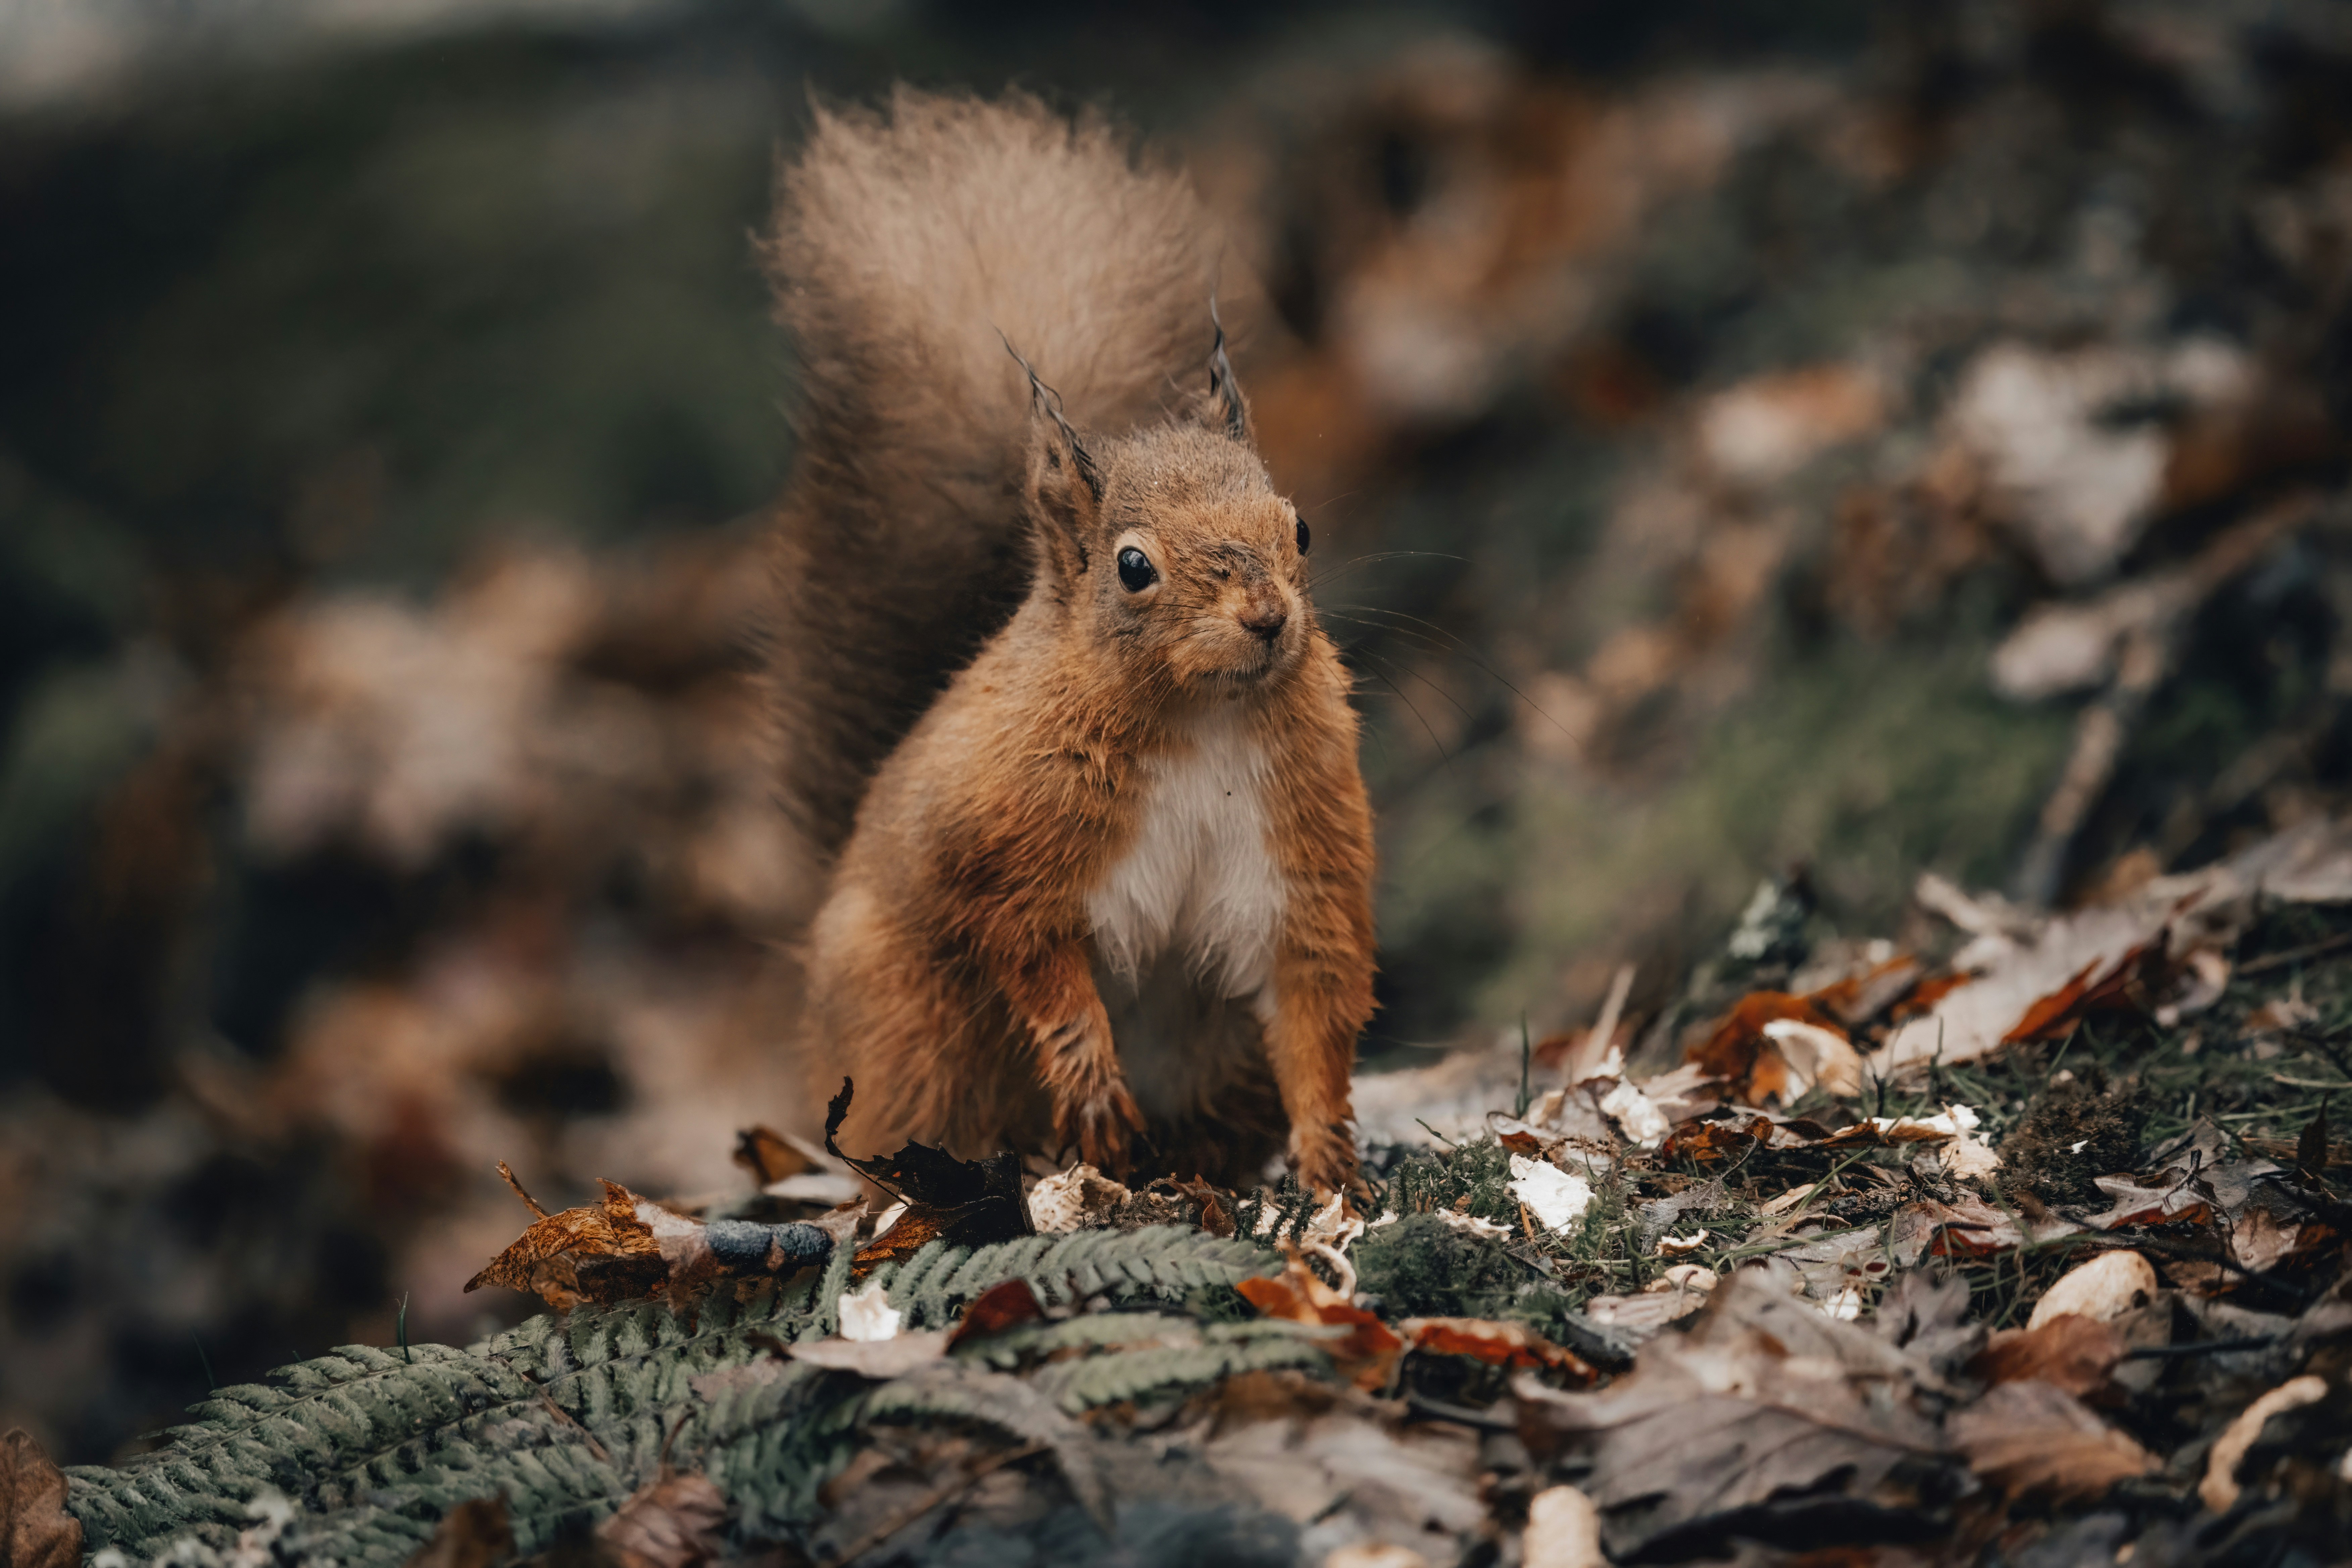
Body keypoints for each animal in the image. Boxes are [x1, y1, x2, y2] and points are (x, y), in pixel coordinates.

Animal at [759, 88, 1376, 1197]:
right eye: (1132, 567)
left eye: (1299, 529)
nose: (1269, 621)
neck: (1202, 720)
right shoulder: (1003, 850)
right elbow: (1034, 960)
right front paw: (1092, 1088)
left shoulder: (1300, 861)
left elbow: (1313, 1011)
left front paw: (1331, 1163)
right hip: (919, 1034)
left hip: (1214, 1055)